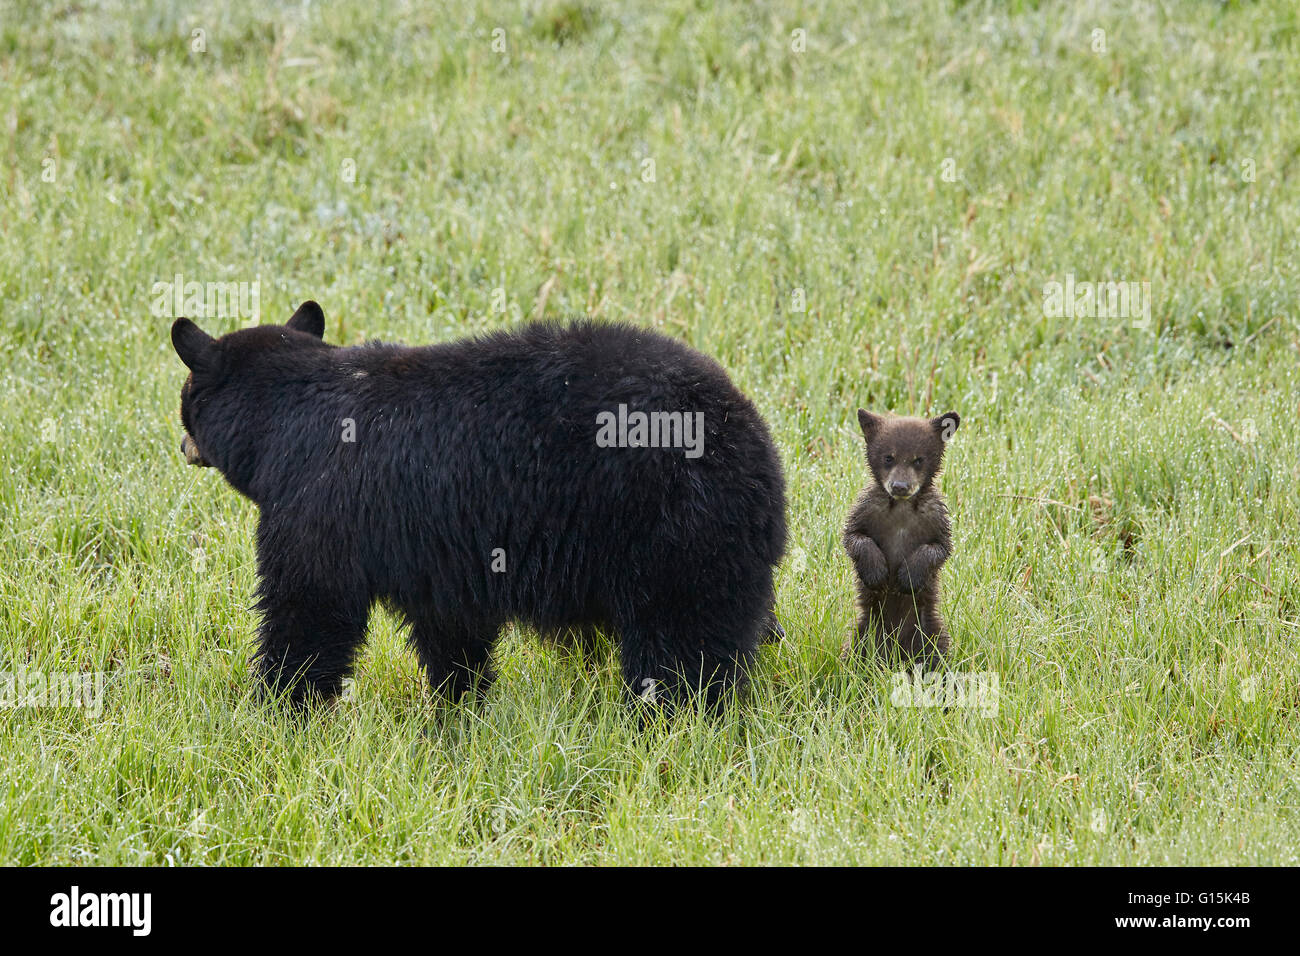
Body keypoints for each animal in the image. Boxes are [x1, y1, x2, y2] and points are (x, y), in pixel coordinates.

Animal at [171, 301, 787, 714]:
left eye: (183, 401)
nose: (182, 447)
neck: (284, 416)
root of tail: (754, 446)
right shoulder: (436, 548)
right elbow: (450, 627)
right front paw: (458, 705)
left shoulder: (318, 502)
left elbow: (308, 607)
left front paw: (280, 709)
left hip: (672, 534)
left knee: (683, 653)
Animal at [842, 409, 960, 668]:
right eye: (888, 457)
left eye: (918, 459)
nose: (900, 486)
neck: (902, 508)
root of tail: (898, 653)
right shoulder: (867, 509)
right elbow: (854, 537)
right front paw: (876, 572)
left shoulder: (935, 517)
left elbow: (939, 547)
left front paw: (909, 576)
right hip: (865, 632)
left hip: (930, 632)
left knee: (936, 656)